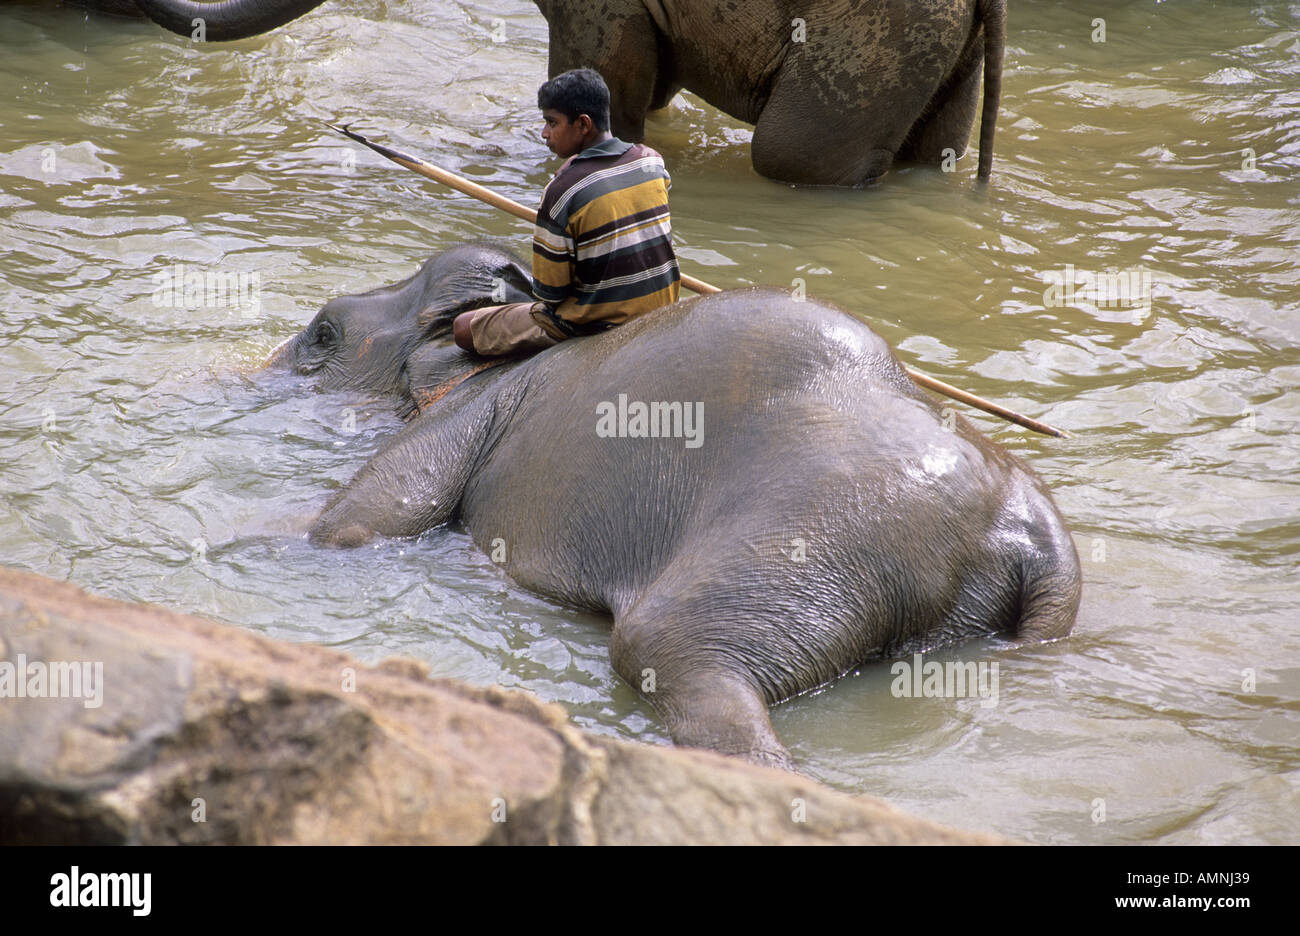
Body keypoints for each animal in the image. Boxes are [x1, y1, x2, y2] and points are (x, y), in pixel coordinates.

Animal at [306, 282, 1082, 769]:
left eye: (324, 332)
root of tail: (1036, 535)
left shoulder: (477, 405)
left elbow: (367, 514)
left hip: (820, 529)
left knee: (665, 647)